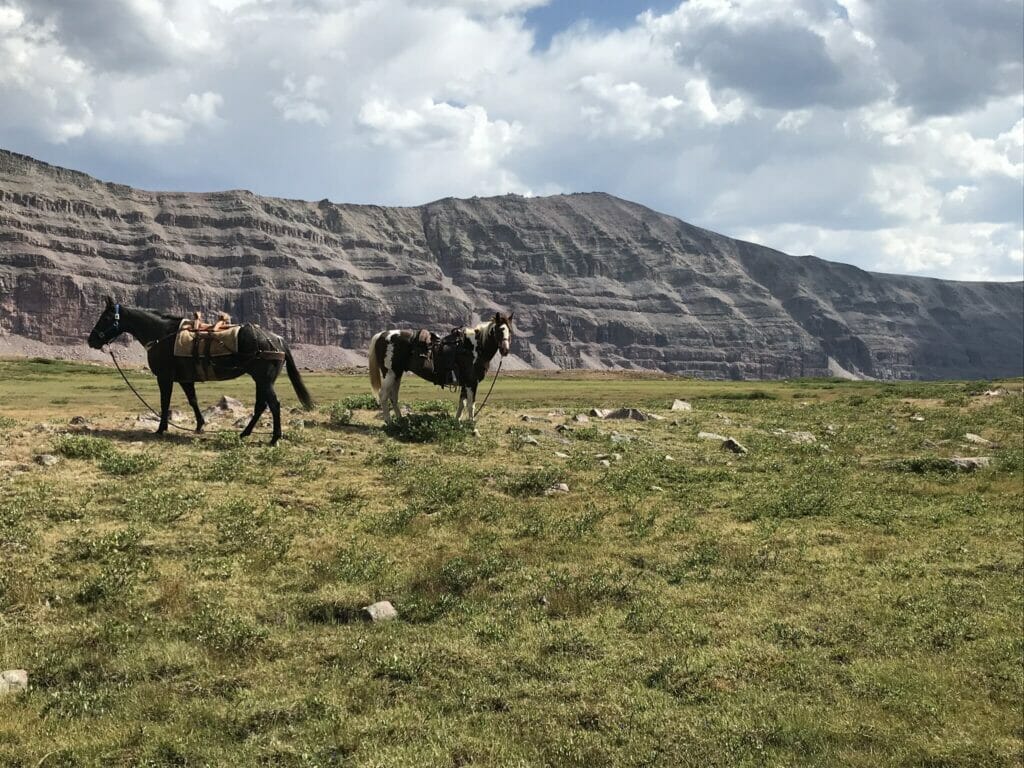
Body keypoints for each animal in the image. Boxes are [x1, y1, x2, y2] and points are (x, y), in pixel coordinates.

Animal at [87, 297, 314, 445]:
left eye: (105, 318)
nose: (91, 340)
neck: (163, 335)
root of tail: (278, 340)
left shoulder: (165, 377)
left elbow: (165, 402)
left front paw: (161, 429)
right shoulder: (185, 379)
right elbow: (193, 400)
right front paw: (200, 425)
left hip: (264, 380)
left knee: (273, 405)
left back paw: (274, 438)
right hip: (261, 380)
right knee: (261, 406)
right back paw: (245, 433)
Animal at [367, 312, 514, 425]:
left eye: (510, 331)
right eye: (499, 330)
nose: (505, 350)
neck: (474, 347)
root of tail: (382, 334)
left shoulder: (465, 382)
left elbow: (462, 403)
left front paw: (457, 422)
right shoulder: (472, 382)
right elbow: (471, 404)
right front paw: (472, 426)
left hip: (397, 374)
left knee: (393, 396)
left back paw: (400, 420)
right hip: (389, 373)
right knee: (383, 395)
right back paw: (389, 422)